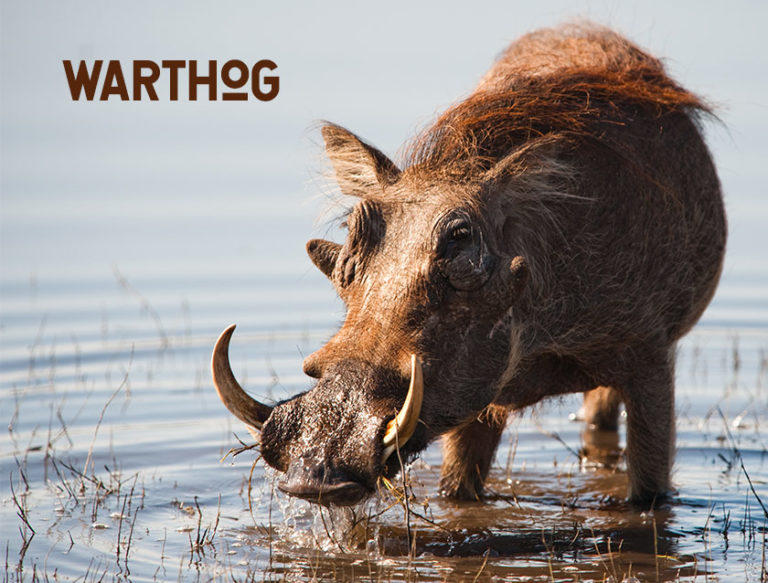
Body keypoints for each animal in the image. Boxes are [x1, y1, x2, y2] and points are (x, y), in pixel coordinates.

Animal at [212, 23, 726, 507]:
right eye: (355, 230)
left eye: (460, 239)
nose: (315, 469)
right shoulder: (473, 399)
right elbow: (457, 490)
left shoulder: (651, 357)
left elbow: (649, 495)